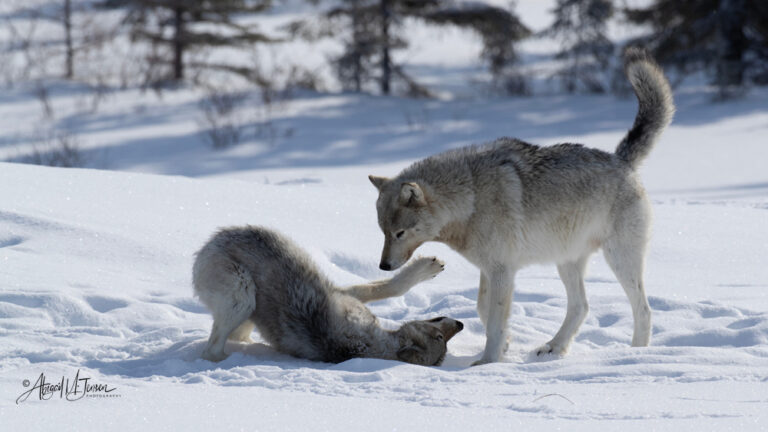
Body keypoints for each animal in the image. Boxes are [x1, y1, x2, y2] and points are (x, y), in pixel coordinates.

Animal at [193, 225, 463, 366]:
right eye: (440, 337)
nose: (460, 324)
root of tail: (213, 240)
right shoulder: (345, 297)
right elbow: (389, 287)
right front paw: (428, 268)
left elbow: (385, 287)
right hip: (243, 295)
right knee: (213, 349)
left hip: (247, 304)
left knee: (221, 344)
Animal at [368, 48, 675, 365]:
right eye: (384, 232)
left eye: (400, 233)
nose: (383, 266)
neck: (470, 198)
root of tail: (622, 159)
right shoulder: (490, 269)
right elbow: (484, 309)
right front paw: (505, 345)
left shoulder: (503, 270)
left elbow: (493, 319)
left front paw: (488, 362)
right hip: (566, 261)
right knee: (582, 306)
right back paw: (554, 347)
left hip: (619, 259)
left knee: (643, 309)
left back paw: (635, 354)